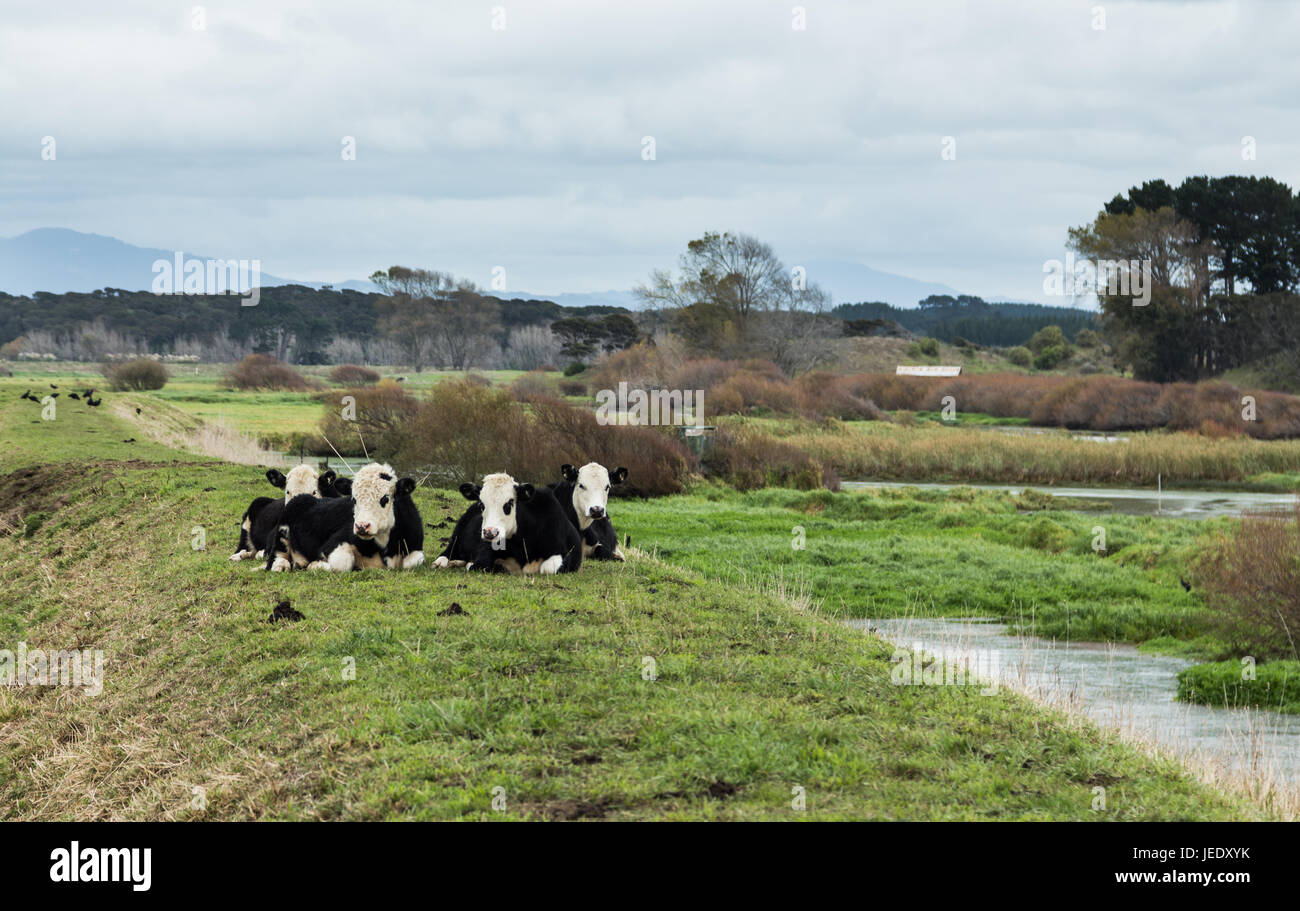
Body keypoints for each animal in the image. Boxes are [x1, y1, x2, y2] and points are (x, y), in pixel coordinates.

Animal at [264, 462, 424, 572]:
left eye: (385, 498)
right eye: (354, 499)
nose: (362, 526)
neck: (384, 545)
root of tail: (301, 498)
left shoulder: (416, 547)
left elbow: (414, 561)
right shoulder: (332, 544)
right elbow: (341, 563)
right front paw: (315, 564)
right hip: (281, 536)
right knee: (277, 560)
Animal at [433, 472, 581, 574]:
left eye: (509, 503)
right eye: (482, 504)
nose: (490, 532)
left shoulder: (564, 552)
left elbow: (548, 568)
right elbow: (480, 565)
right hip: (458, 533)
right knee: (448, 551)